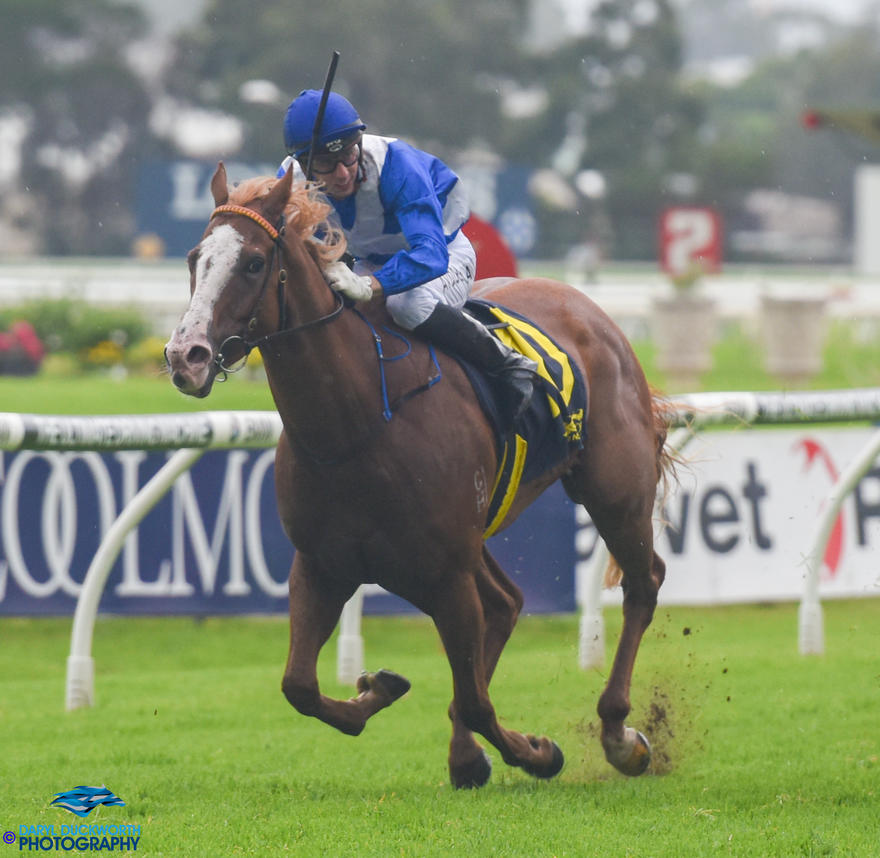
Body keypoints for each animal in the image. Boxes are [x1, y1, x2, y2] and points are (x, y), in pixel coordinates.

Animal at [165, 163, 673, 788]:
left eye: (254, 262)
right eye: (196, 258)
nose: (185, 357)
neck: (356, 423)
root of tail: (587, 306)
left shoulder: (445, 573)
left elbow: (476, 700)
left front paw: (537, 751)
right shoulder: (322, 565)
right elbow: (299, 686)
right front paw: (379, 689)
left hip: (614, 490)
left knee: (642, 583)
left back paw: (619, 734)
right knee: (506, 603)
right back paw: (466, 755)